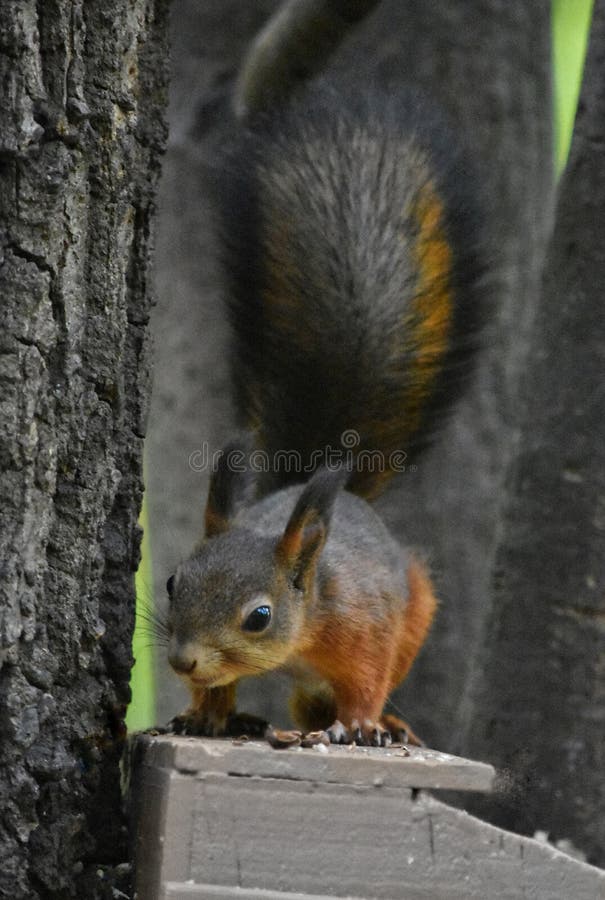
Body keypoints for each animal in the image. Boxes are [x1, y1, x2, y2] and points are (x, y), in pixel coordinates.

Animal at [164, 81, 487, 747]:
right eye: (172, 583)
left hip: (416, 610)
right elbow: (220, 684)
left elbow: (365, 677)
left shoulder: (364, 625)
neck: (307, 615)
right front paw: (205, 713)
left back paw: (381, 723)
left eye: (259, 617)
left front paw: (360, 723)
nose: (183, 660)